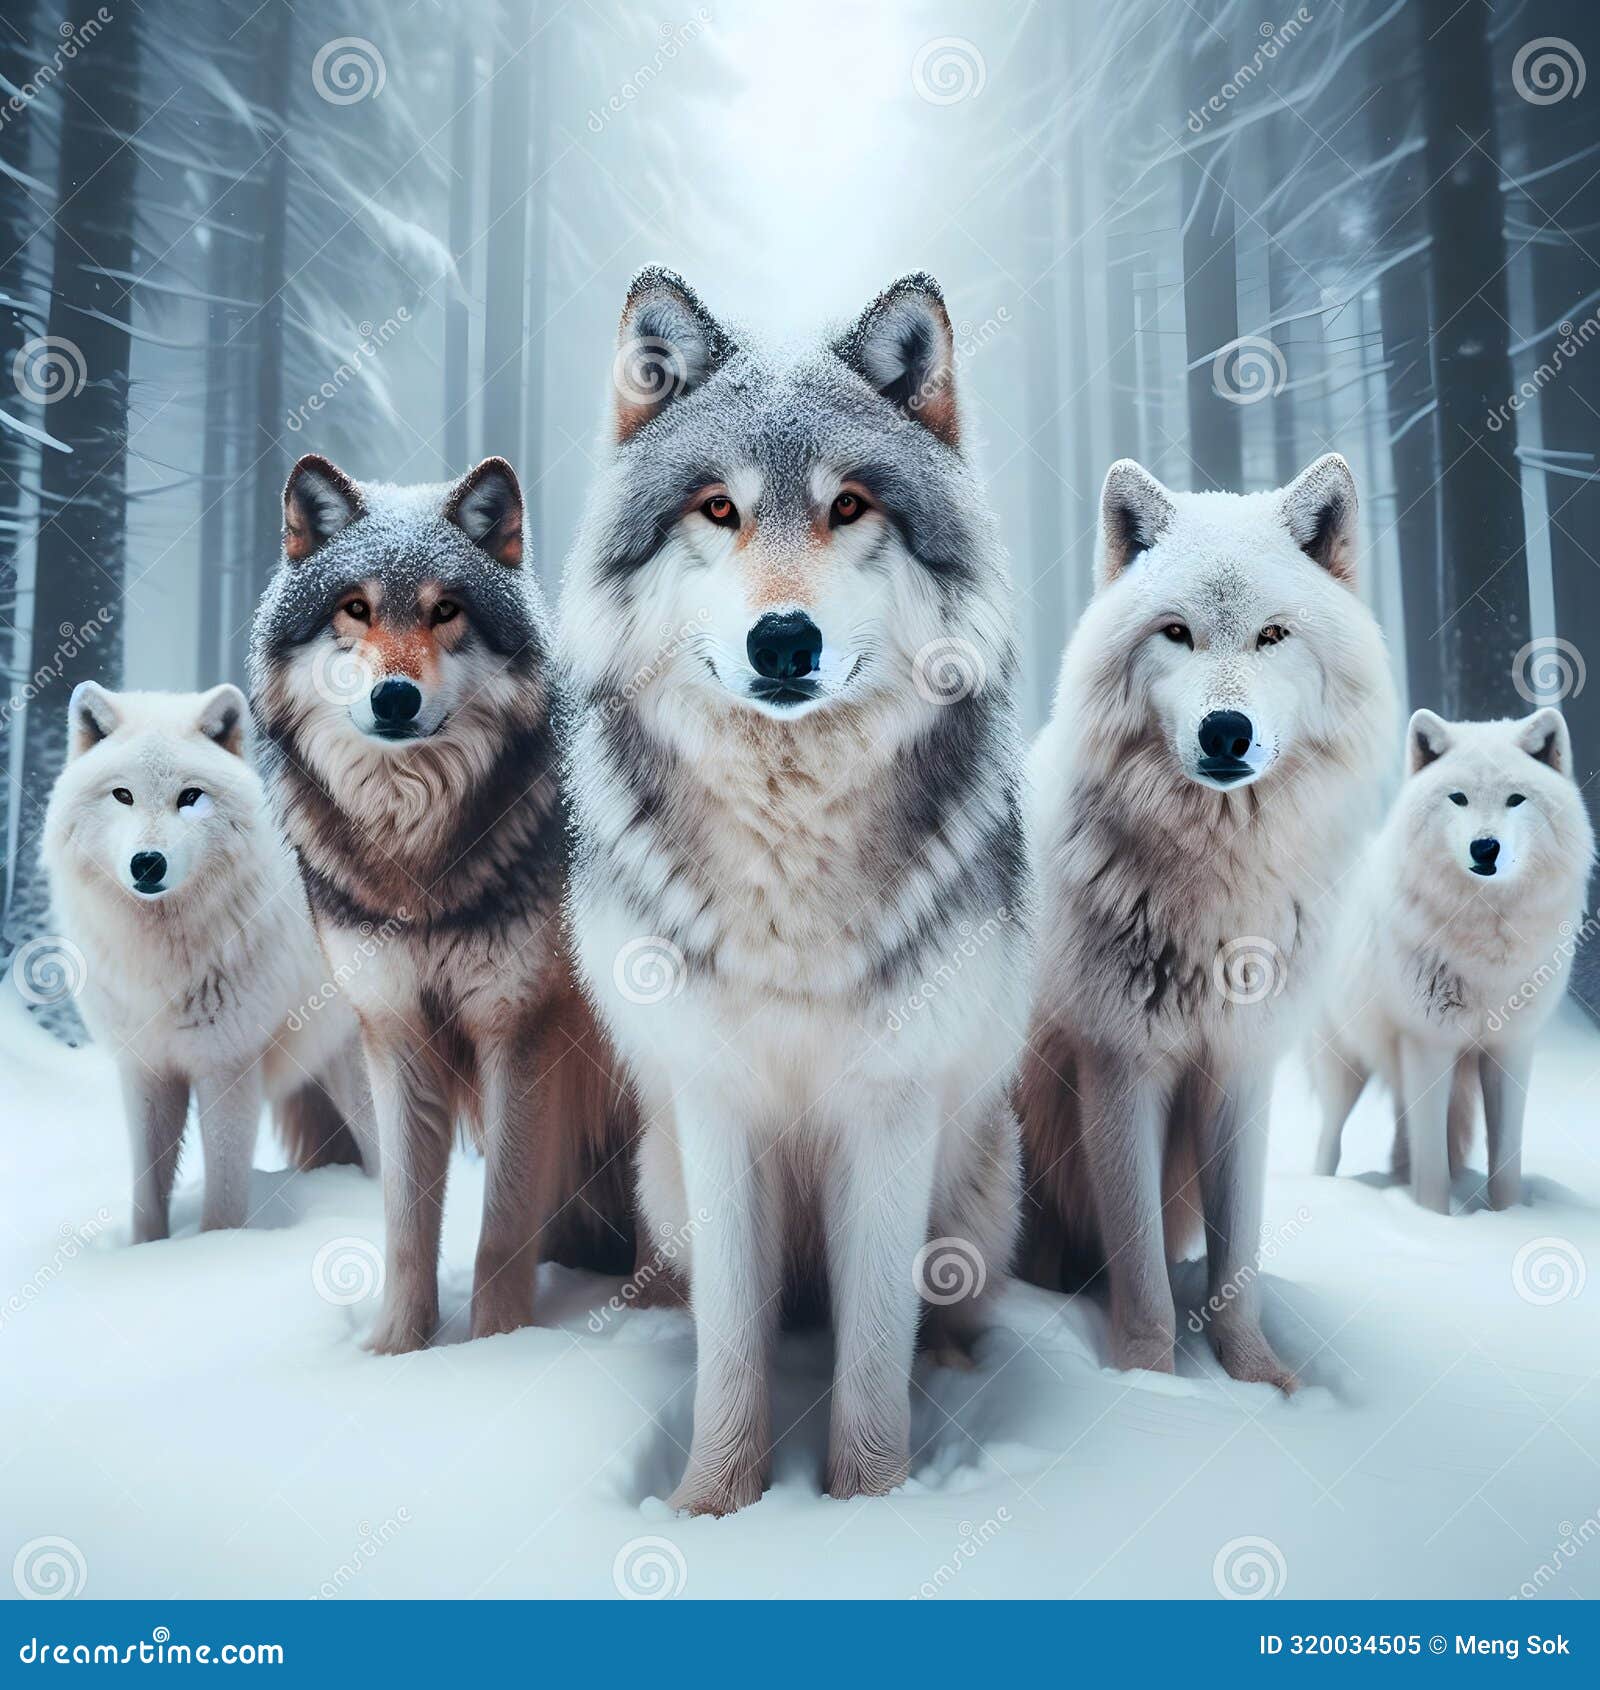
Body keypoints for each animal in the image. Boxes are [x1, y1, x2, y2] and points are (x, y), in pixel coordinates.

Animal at [41, 684, 375, 1240]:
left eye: (190, 797)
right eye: (123, 795)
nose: (147, 863)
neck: (161, 958)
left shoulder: (228, 1065)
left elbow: (224, 1194)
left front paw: (215, 1250)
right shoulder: (146, 1070)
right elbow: (147, 1196)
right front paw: (148, 1251)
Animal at [250, 455, 636, 1355]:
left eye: (446, 610)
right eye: (355, 608)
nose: (394, 697)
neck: (414, 855)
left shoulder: (520, 1029)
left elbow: (501, 1225)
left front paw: (493, 1352)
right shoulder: (393, 1031)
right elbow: (404, 1224)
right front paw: (397, 1353)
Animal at [562, 267, 1030, 1516]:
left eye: (849, 507)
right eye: (717, 510)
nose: (783, 640)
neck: (788, 849)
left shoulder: (891, 1107)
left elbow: (869, 1353)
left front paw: (867, 1506)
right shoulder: (716, 1105)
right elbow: (732, 1346)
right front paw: (714, 1504)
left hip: (978, 1188)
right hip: (663, 1178)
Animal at [1017, 454, 1396, 1390]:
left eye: (1273, 635)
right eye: (1177, 633)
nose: (1228, 731)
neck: (1219, 891)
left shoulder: (1241, 1067)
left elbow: (1238, 1260)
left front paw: (1258, 1378)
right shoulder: (1119, 1065)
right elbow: (1144, 1268)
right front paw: (1152, 1384)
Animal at [1310, 708, 1594, 1212]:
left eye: (1515, 799)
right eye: (1458, 798)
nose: (1485, 847)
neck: (1487, 941)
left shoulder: (1510, 1047)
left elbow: (1504, 1160)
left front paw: (1507, 1217)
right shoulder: (1428, 1043)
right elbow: (1432, 1168)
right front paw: (1432, 1218)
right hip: (1344, 1060)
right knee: (1331, 1136)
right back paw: (1324, 1187)